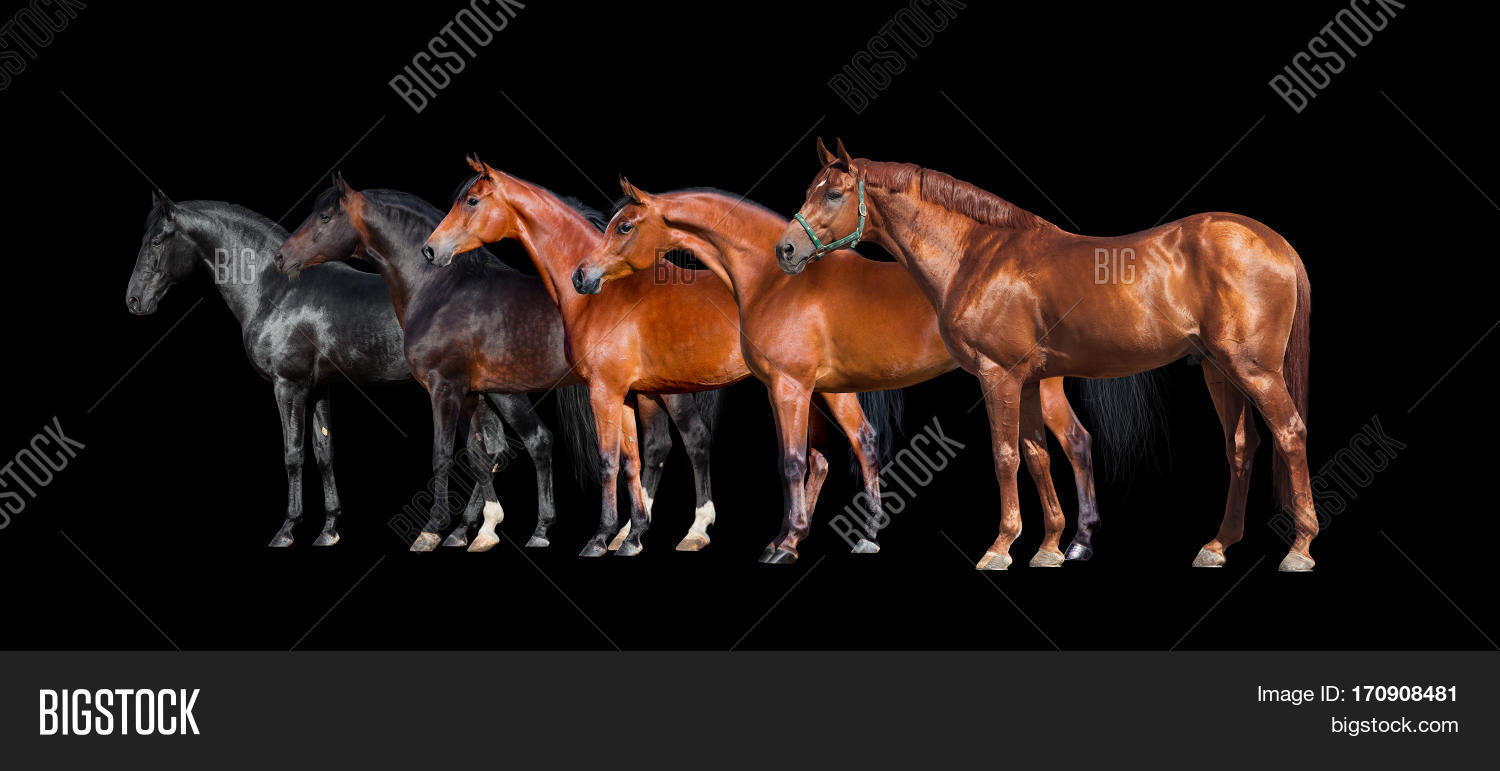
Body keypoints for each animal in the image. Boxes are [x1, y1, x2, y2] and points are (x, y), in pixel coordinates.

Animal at [126, 191, 517, 548]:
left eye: (157, 240)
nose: (133, 300)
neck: (275, 290)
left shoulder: (288, 385)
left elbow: (293, 455)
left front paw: (287, 530)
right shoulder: (317, 387)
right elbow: (325, 453)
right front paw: (328, 529)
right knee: (491, 451)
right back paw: (465, 532)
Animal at [274, 176, 696, 552]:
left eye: (325, 216)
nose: (281, 257)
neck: (442, 290)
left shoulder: (444, 389)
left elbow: (442, 455)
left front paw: (432, 530)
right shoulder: (471, 393)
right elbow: (479, 457)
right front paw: (474, 532)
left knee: (682, 443)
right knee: (651, 449)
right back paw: (625, 534)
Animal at [573, 171, 1106, 566]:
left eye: (624, 226)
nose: (583, 275)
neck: (772, 279)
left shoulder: (789, 386)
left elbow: (792, 461)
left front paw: (784, 545)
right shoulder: (815, 388)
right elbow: (828, 454)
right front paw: (812, 537)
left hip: (1029, 383)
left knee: (1071, 443)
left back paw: (1068, 543)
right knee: (1069, 444)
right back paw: (1068, 543)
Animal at [777, 141, 1315, 572]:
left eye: (833, 193)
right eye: (809, 188)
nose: (786, 250)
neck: (978, 255)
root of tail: (1276, 244)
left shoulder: (999, 376)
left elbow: (1005, 456)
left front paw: (1000, 547)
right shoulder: (1031, 380)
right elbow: (1037, 456)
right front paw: (1050, 546)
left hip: (1255, 370)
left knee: (1289, 433)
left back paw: (1300, 549)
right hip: (1218, 371)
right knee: (1242, 445)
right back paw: (1218, 545)